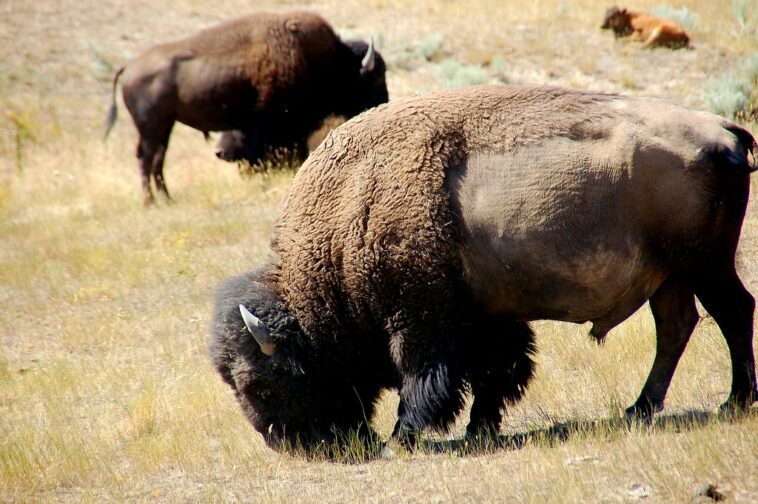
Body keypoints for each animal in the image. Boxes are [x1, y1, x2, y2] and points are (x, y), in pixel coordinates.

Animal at [104, 11, 387, 204]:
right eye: (375, 77)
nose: (383, 101)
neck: (332, 62)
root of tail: (129, 67)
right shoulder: (264, 122)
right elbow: (256, 155)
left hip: (165, 124)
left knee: (158, 159)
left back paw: (166, 198)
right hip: (151, 127)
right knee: (146, 157)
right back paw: (150, 201)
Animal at [211, 85, 756, 455]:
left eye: (260, 384)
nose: (285, 444)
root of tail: (725, 131)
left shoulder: (421, 321)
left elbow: (425, 380)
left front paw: (399, 441)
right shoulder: (487, 317)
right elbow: (497, 371)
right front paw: (481, 428)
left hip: (704, 264)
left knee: (732, 312)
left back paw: (734, 401)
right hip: (671, 276)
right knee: (677, 327)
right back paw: (640, 409)